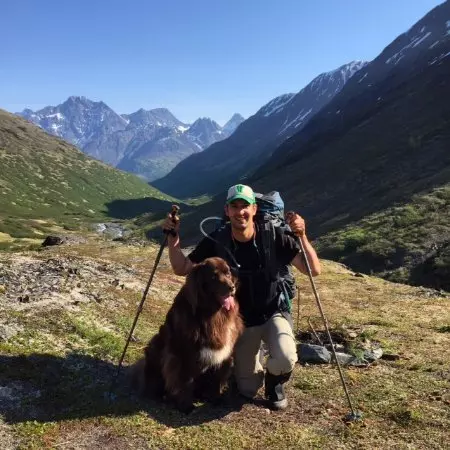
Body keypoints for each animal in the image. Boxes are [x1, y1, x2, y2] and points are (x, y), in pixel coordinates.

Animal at [135, 256, 244, 412]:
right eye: (213, 276)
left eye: (228, 273)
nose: (231, 287)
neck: (212, 314)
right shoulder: (184, 354)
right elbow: (185, 381)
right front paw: (186, 406)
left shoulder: (224, 353)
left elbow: (217, 378)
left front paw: (215, 399)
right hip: (155, 346)